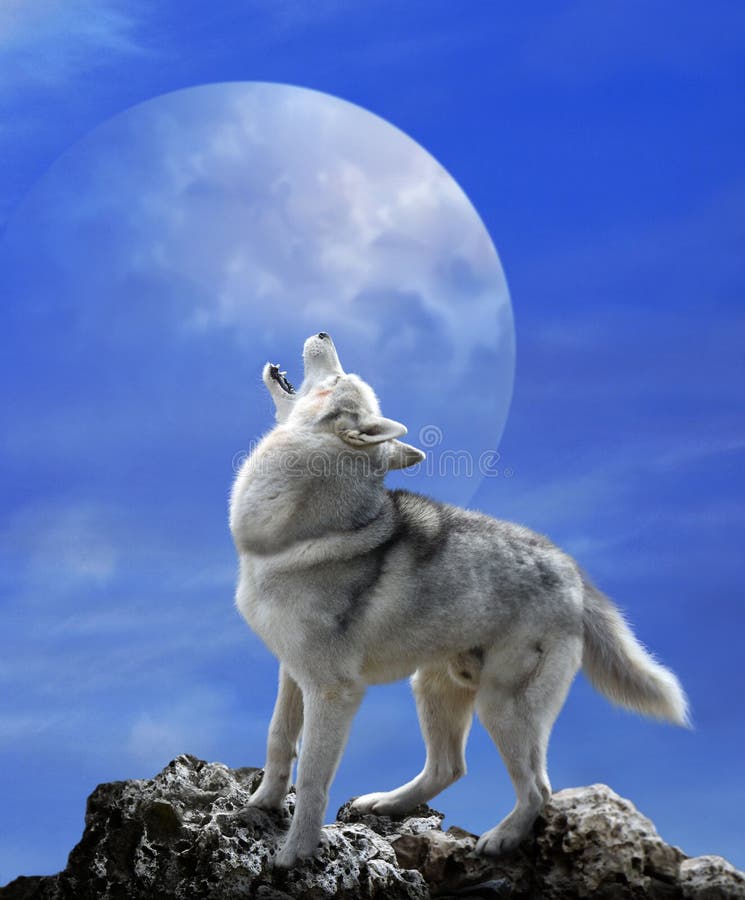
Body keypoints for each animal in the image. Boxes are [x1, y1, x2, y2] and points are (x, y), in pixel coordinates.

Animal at [229, 332, 689, 869]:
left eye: (341, 377)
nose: (324, 334)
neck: (283, 534)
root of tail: (572, 570)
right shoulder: (292, 672)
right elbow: (279, 741)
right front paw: (259, 806)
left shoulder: (333, 691)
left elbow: (313, 780)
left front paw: (295, 853)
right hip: (433, 687)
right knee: (450, 767)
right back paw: (387, 803)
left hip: (500, 708)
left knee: (538, 789)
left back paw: (502, 838)